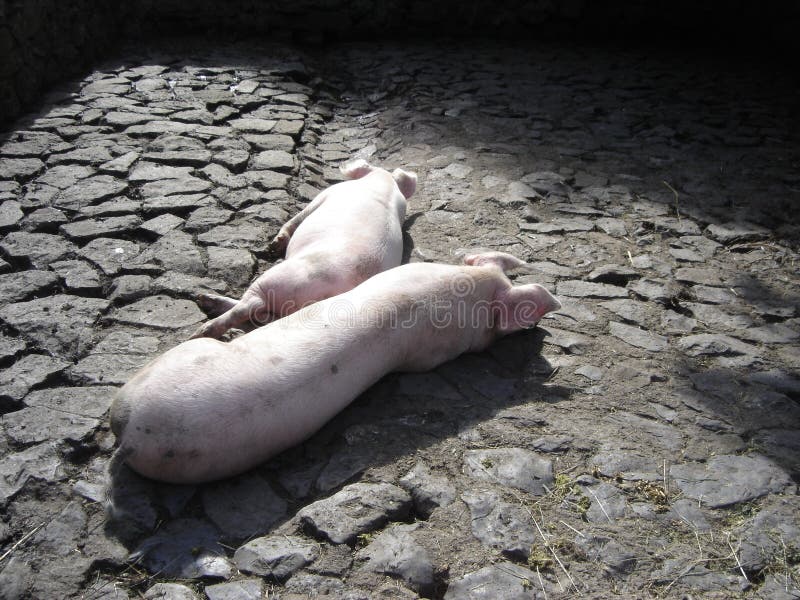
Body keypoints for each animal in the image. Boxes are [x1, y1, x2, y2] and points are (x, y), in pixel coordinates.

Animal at [191, 159, 417, 339]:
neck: (384, 182)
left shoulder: (324, 195)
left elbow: (296, 218)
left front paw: (274, 244)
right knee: (260, 315)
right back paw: (204, 301)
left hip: (277, 278)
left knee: (248, 306)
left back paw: (200, 326)